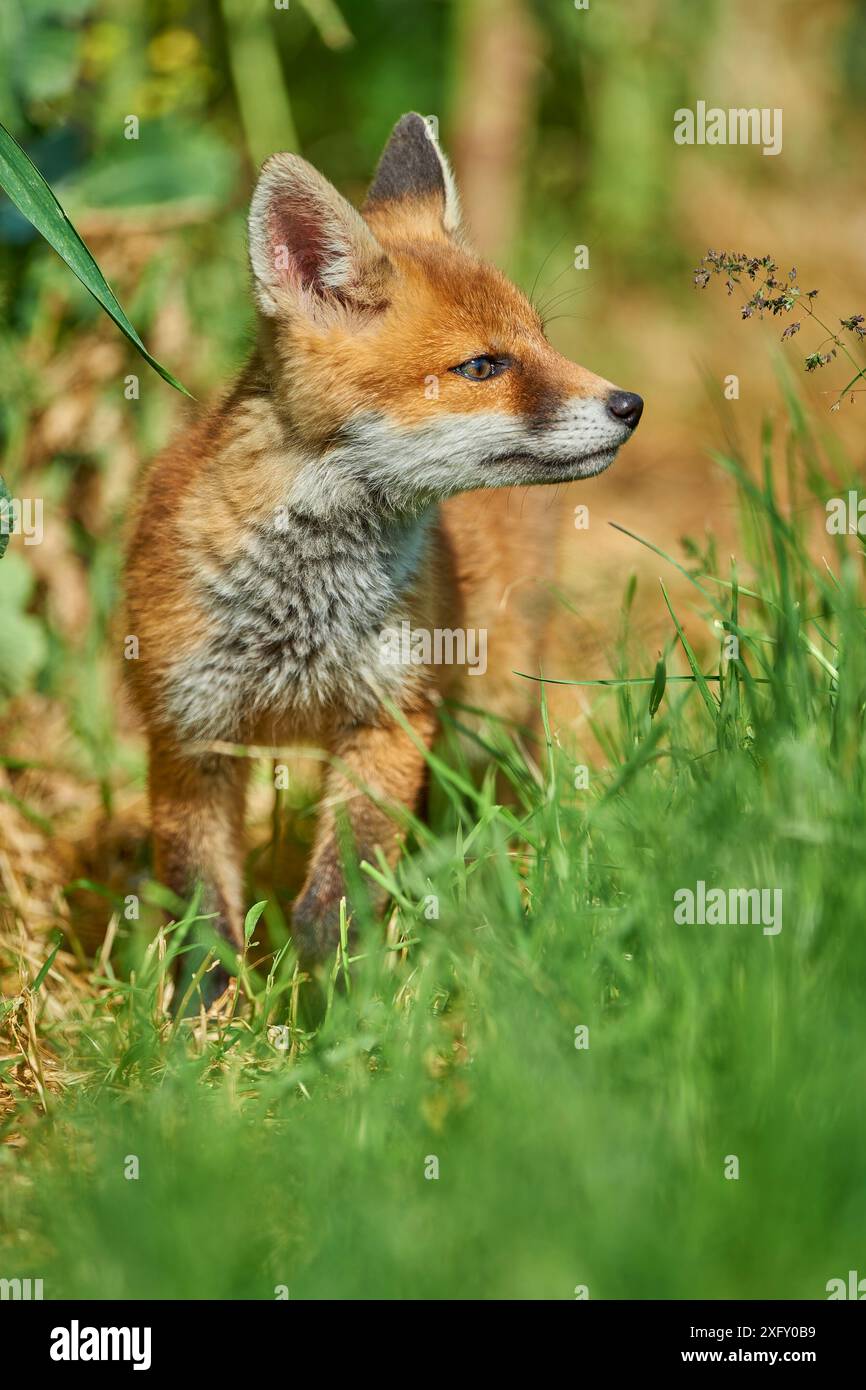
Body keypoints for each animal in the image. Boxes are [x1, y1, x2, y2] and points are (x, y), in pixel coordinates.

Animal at [124, 113, 643, 984]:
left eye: (541, 340)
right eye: (483, 366)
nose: (630, 404)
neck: (300, 614)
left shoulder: (391, 717)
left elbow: (337, 902)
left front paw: (341, 1003)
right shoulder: (188, 733)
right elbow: (205, 929)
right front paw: (210, 1018)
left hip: (484, 717)